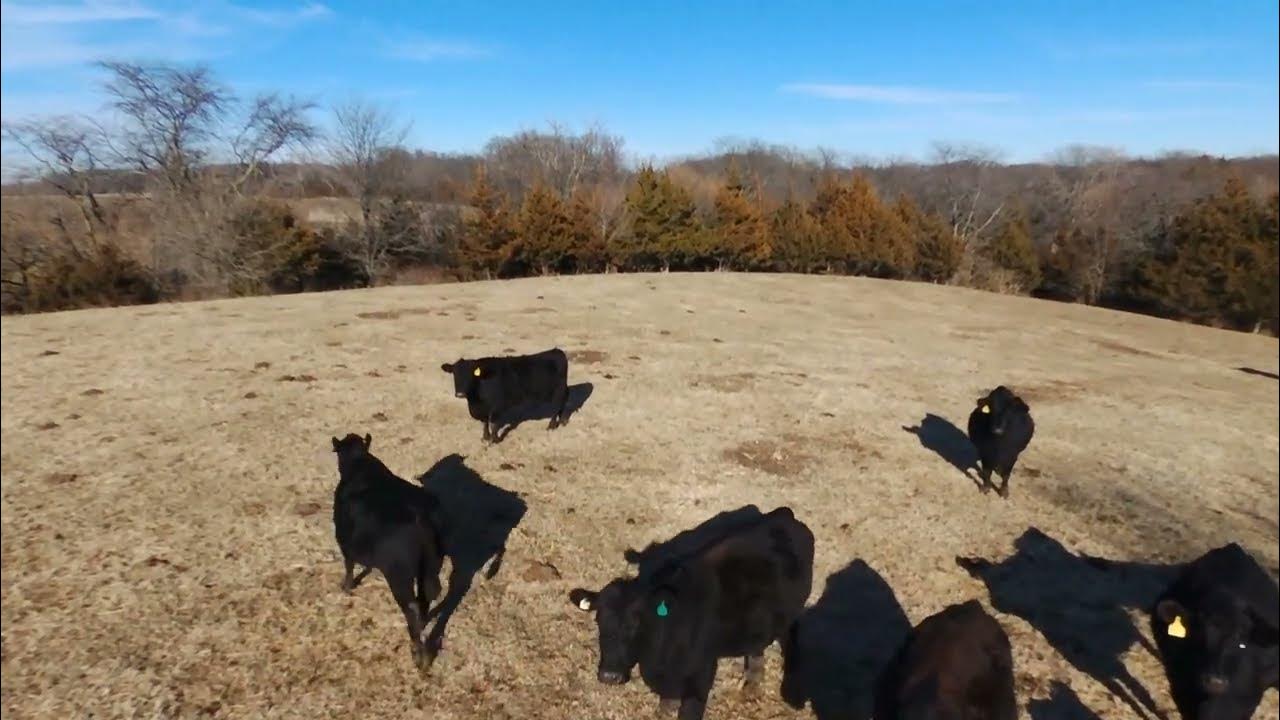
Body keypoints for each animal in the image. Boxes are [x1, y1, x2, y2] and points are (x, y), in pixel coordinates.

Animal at [330, 432, 445, 672]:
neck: (359, 465)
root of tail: (420, 518)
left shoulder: (344, 540)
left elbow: (348, 564)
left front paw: (346, 587)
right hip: (431, 567)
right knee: (428, 596)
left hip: (399, 576)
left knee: (412, 606)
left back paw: (419, 656)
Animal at [440, 348, 570, 444]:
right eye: (455, 374)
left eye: (471, 375)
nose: (460, 394)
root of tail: (556, 351)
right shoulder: (483, 409)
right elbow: (485, 423)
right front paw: (485, 437)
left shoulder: (497, 407)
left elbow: (493, 424)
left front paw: (495, 439)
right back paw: (561, 421)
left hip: (558, 390)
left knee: (557, 406)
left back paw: (552, 425)